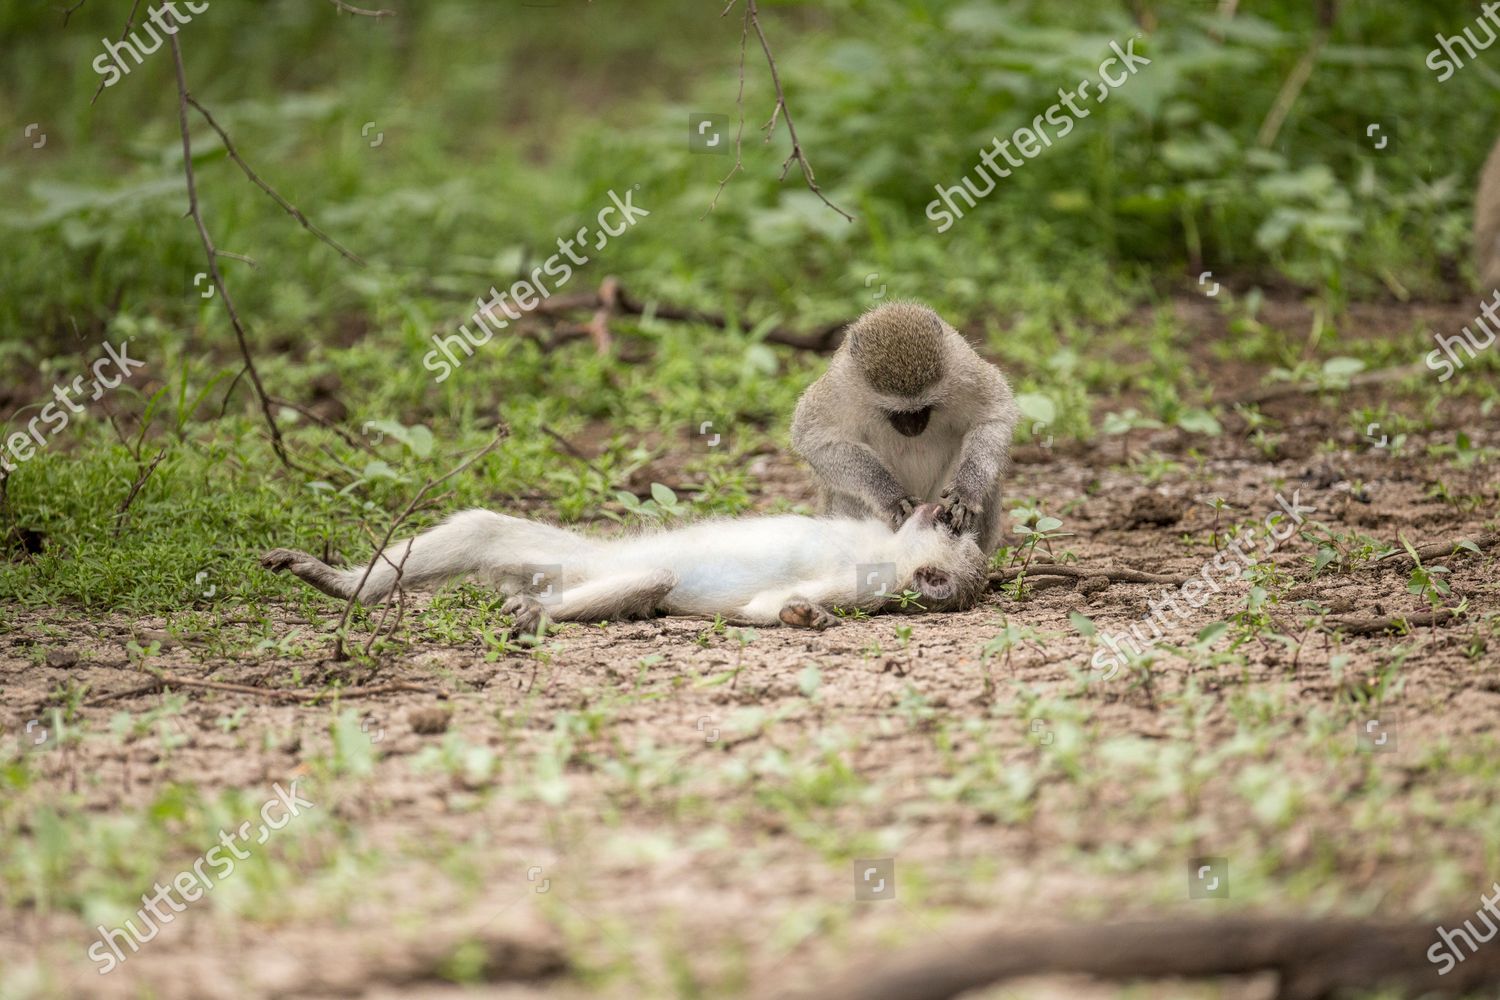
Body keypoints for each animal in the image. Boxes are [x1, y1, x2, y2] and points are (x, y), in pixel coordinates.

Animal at [791, 301, 1019, 561]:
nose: (913, 427)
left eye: (925, 407)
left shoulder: (964, 368)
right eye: (895, 412)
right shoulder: (837, 388)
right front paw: (892, 496)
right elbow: (814, 439)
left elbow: (994, 415)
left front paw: (967, 489)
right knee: (847, 491)